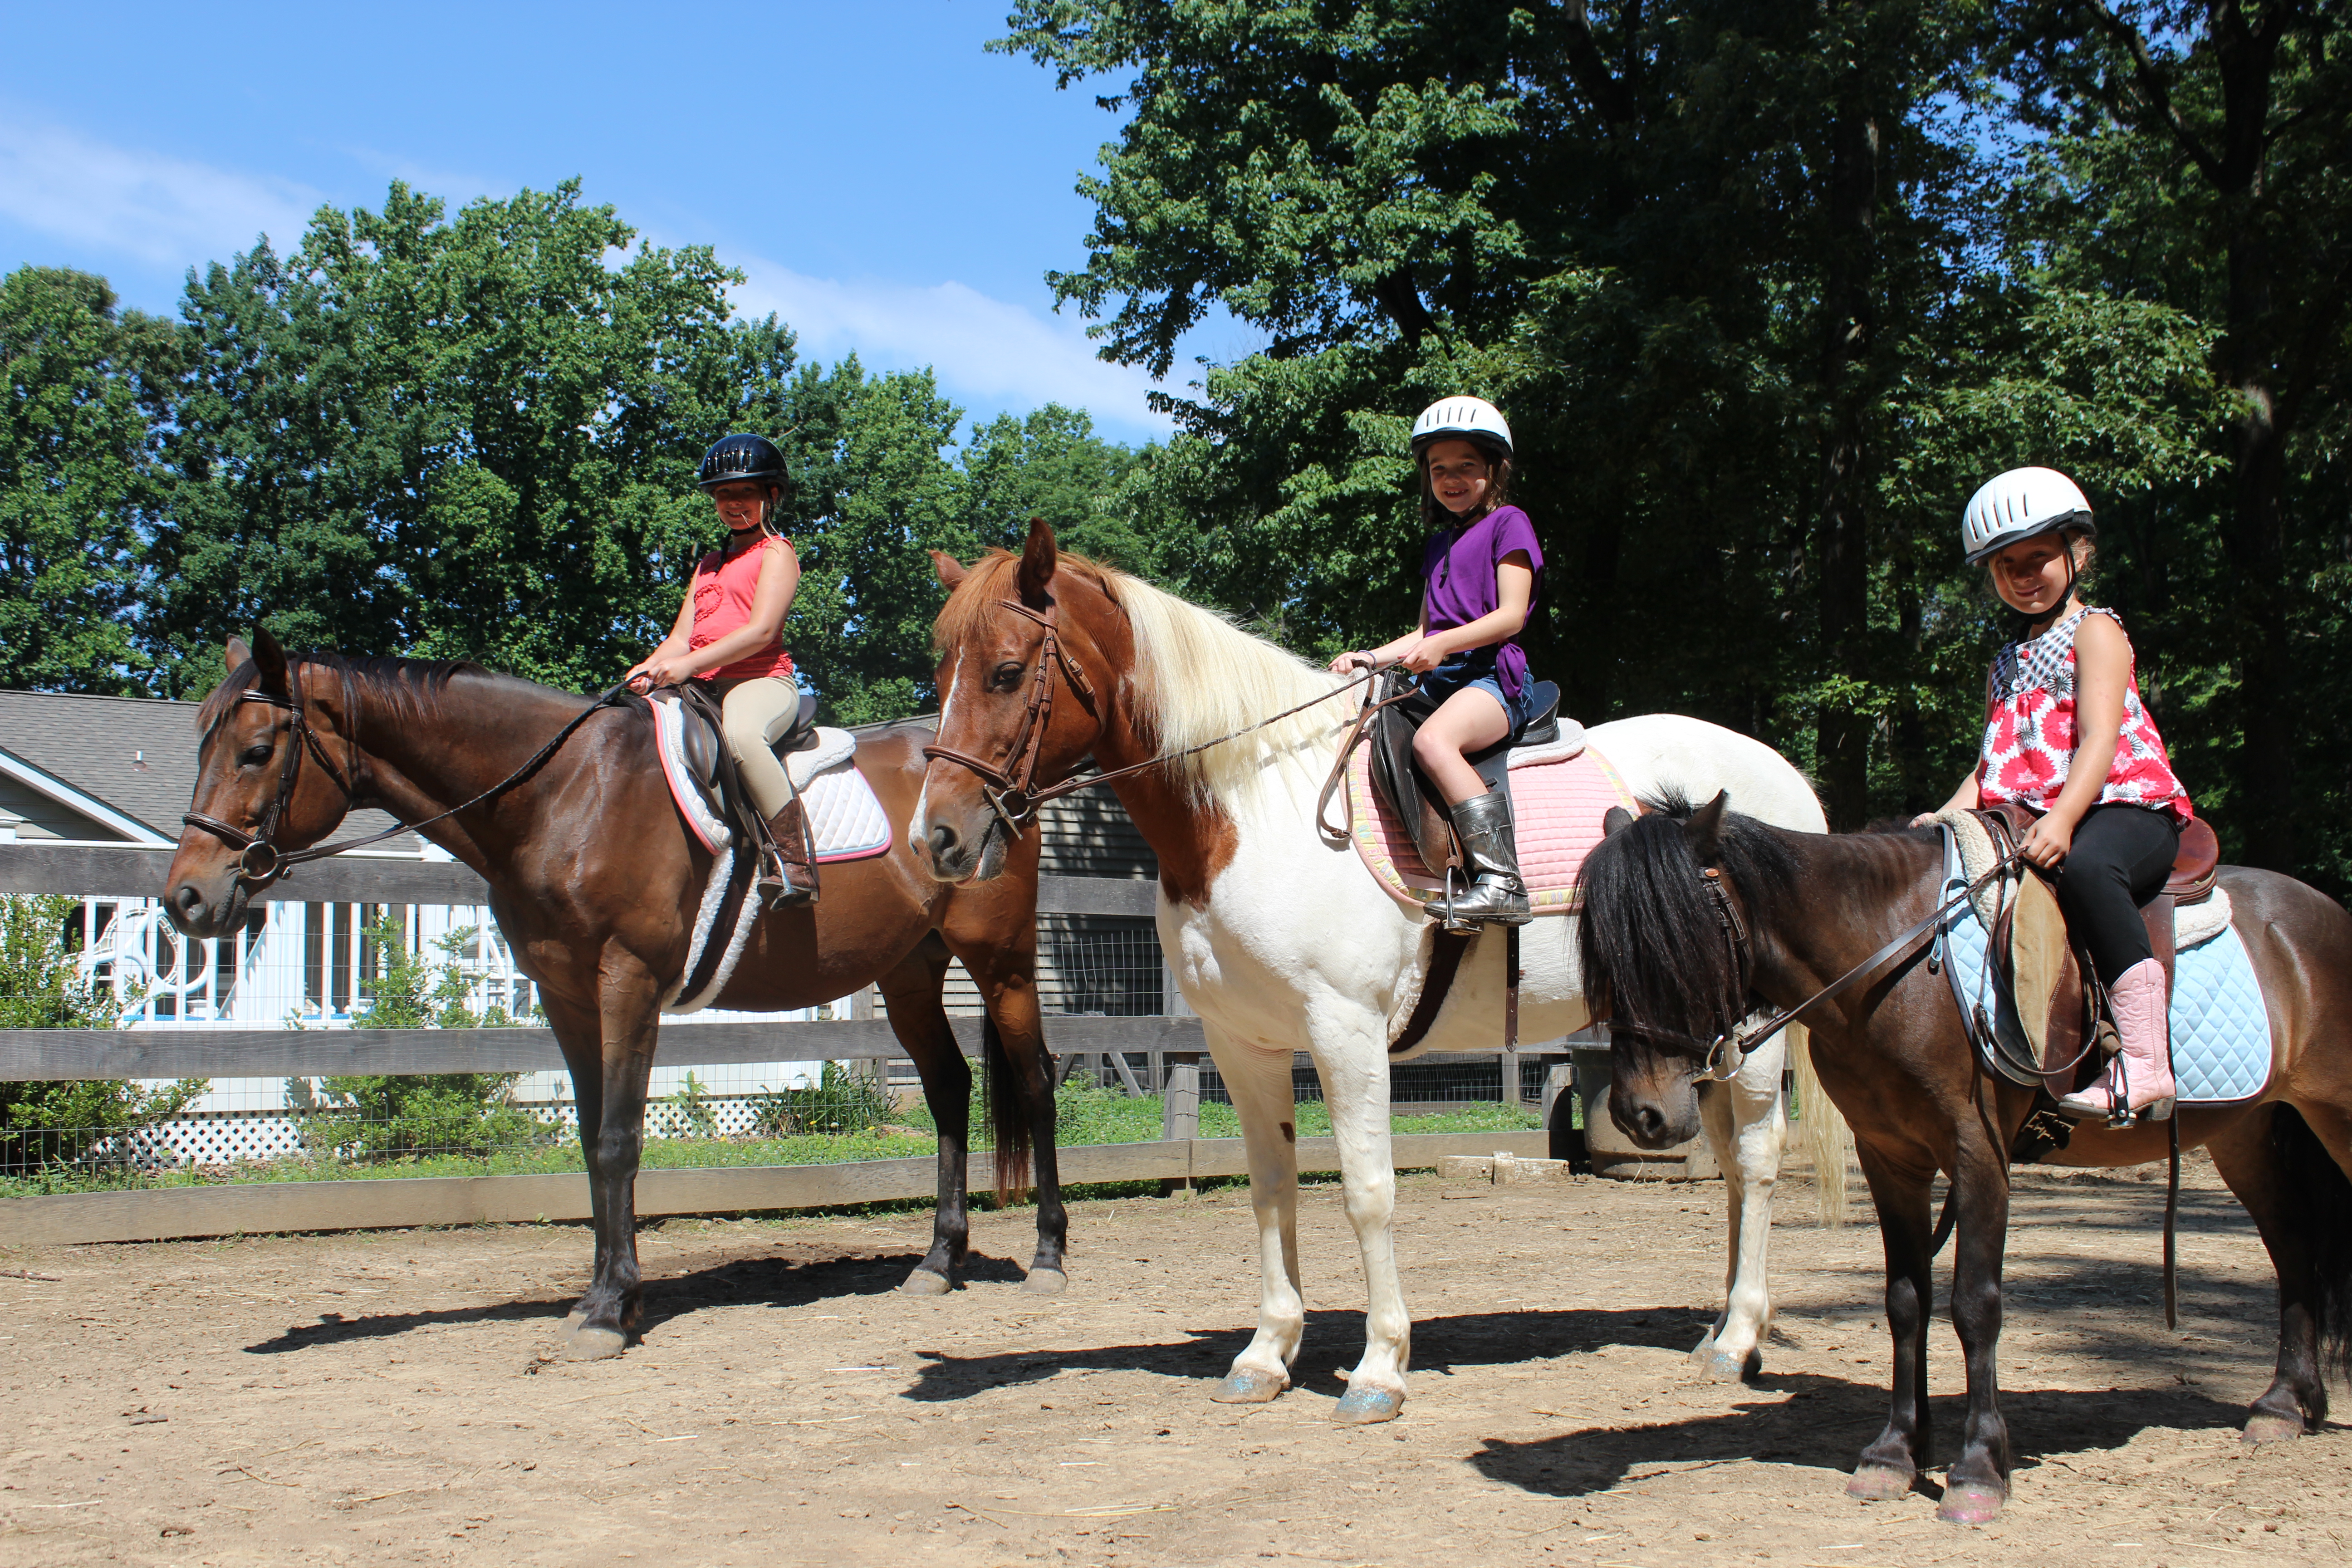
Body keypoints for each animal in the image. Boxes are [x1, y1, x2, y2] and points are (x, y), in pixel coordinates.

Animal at [162, 630, 1073, 1359]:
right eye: (200, 745)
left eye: (255, 750)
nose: (187, 901)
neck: (561, 794)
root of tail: (995, 779)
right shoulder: (566, 998)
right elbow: (589, 1141)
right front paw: (605, 1296)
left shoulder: (625, 985)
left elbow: (616, 1142)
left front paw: (608, 1312)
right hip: (909, 969)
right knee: (948, 1089)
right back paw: (938, 1262)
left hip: (1000, 962)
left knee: (1033, 1084)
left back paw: (1049, 1257)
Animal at [911, 519, 1843, 1422]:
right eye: (941, 670)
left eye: (1004, 672)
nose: (934, 840)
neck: (1257, 810)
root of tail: (1786, 780)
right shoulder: (1241, 1043)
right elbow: (1272, 1186)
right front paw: (1265, 1354)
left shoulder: (1345, 1033)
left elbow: (1366, 1191)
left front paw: (1379, 1369)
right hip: (1703, 1028)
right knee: (1730, 1163)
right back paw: (1725, 1331)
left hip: (1750, 1033)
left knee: (1757, 1158)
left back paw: (1737, 1337)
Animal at [1575, 792, 2352, 1523]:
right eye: (1604, 954)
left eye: (1675, 944)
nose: (1639, 1114)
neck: (1893, 965)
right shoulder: (1891, 1158)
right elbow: (1905, 1301)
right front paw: (1896, 1452)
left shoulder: (1980, 1155)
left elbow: (1975, 1306)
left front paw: (1979, 1468)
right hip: (2245, 1132)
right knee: (2292, 1244)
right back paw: (2284, 1405)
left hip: (2332, 1115)